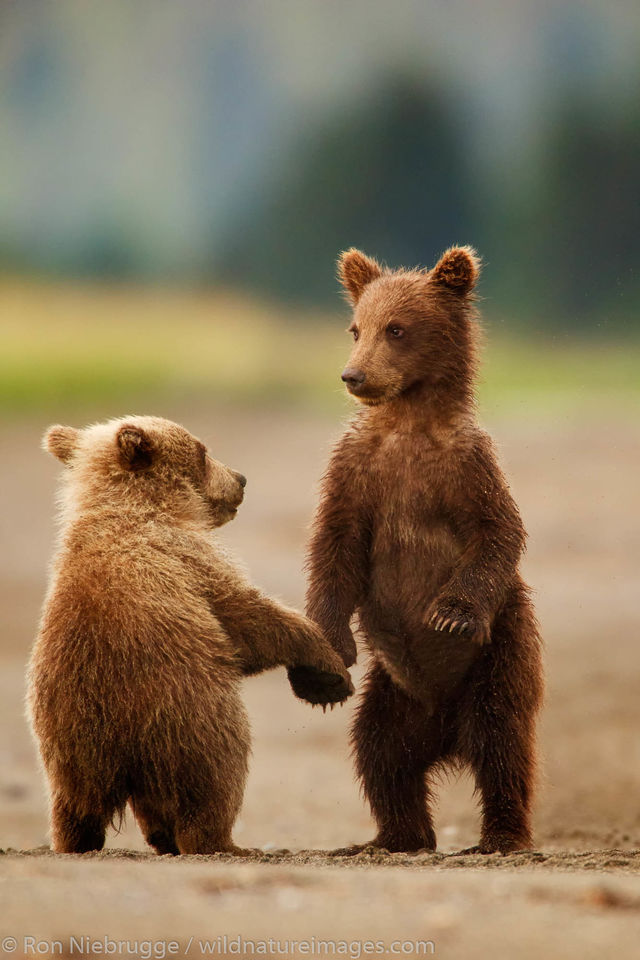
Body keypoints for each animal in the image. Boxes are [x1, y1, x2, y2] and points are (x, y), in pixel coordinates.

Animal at [28, 415, 353, 856]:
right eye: (202, 451)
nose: (241, 478)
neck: (136, 506)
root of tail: (116, 755)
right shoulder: (187, 561)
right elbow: (246, 620)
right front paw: (329, 671)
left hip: (68, 740)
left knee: (76, 806)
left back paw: (86, 839)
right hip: (186, 717)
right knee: (216, 779)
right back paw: (224, 842)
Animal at [305, 247, 544, 855]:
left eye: (397, 328)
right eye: (356, 327)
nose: (353, 375)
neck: (408, 424)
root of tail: (444, 733)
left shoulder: (466, 468)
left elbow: (499, 533)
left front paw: (450, 615)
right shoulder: (356, 470)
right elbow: (334, 547)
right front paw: (328, 649)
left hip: (500, 656)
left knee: (503, 744)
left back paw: (500, 836)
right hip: (392, 693)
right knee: (381, 753)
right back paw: (393, 837)